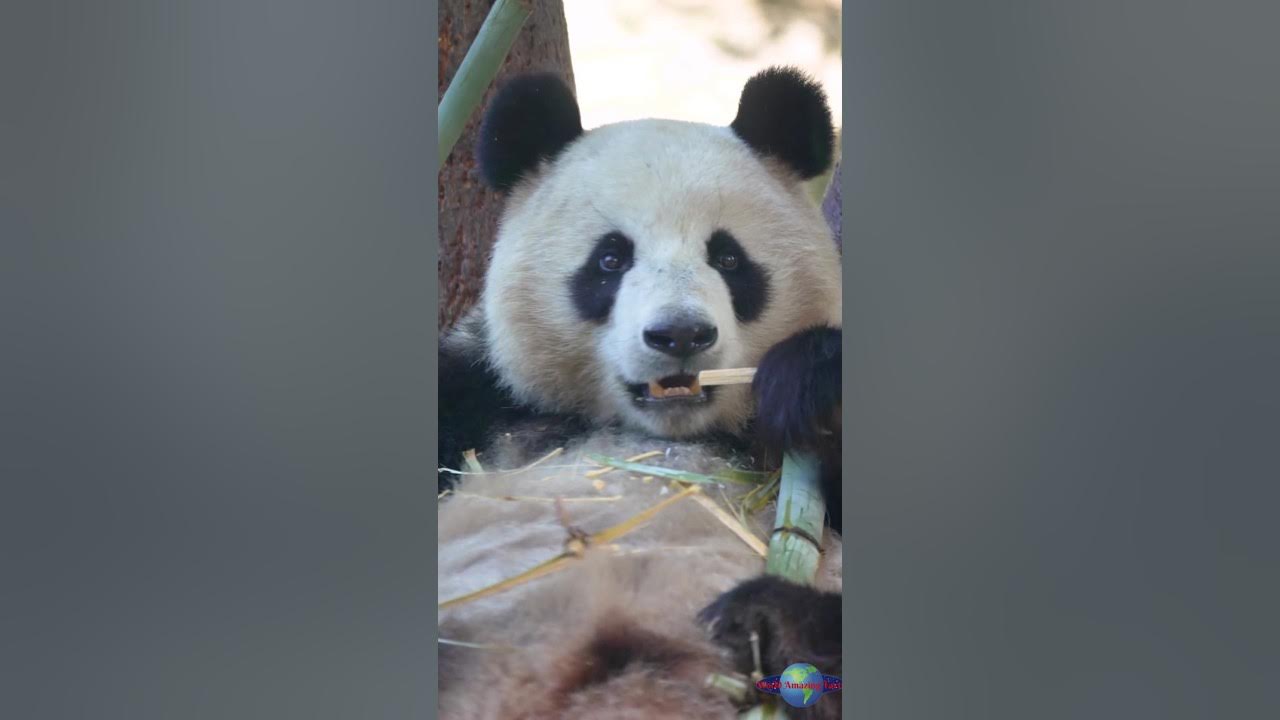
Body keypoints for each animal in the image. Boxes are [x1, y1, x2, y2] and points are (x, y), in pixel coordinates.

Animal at [438, 67, 843, 719]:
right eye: (610, 259)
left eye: (728, 257)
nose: (680, 334)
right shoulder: (482, 397)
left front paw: (812, 383)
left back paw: (773, 623)